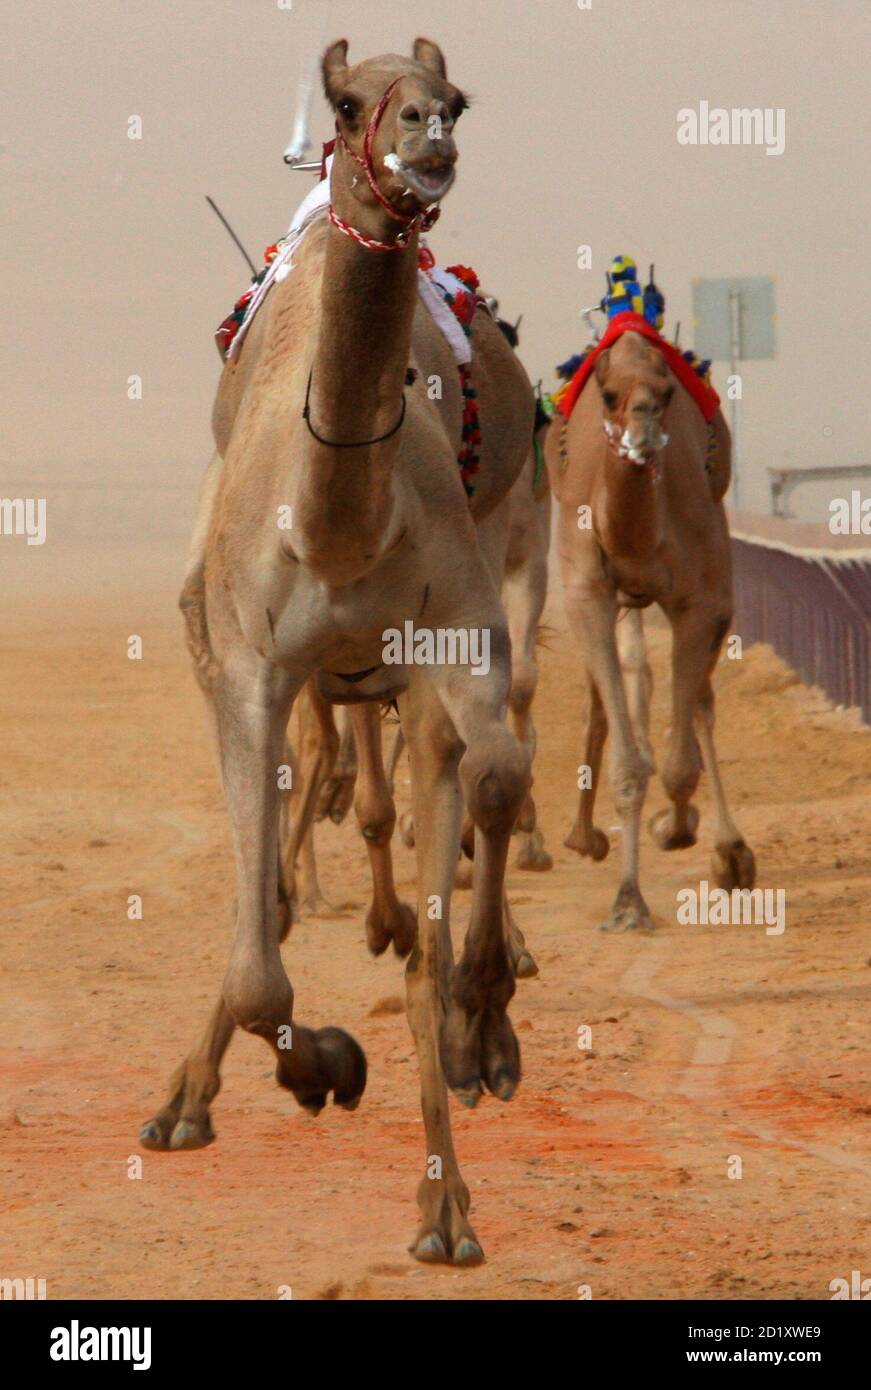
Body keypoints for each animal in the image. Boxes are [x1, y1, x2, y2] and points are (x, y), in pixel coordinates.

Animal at [140, 38, 536, 1266]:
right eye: (351, 100)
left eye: (455, 101)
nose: (425, 135)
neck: (339, 522)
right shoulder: (249, 671)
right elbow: (259, 965)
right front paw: (323, 1066)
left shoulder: (459, 627)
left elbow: (494, 777)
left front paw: (480, 1022)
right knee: (271, 909)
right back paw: (185, 1101)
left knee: (464, 797)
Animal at [546, 325, 756, 933]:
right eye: (609, 395)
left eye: (666, 394)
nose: (642, 429)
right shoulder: (585, 592)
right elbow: (630, 759)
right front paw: (627, 901)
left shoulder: (704, 601)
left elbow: (680, 760)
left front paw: (681, 831)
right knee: (609, 696)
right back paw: (584, 836)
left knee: (700, 705)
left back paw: (727, 849)